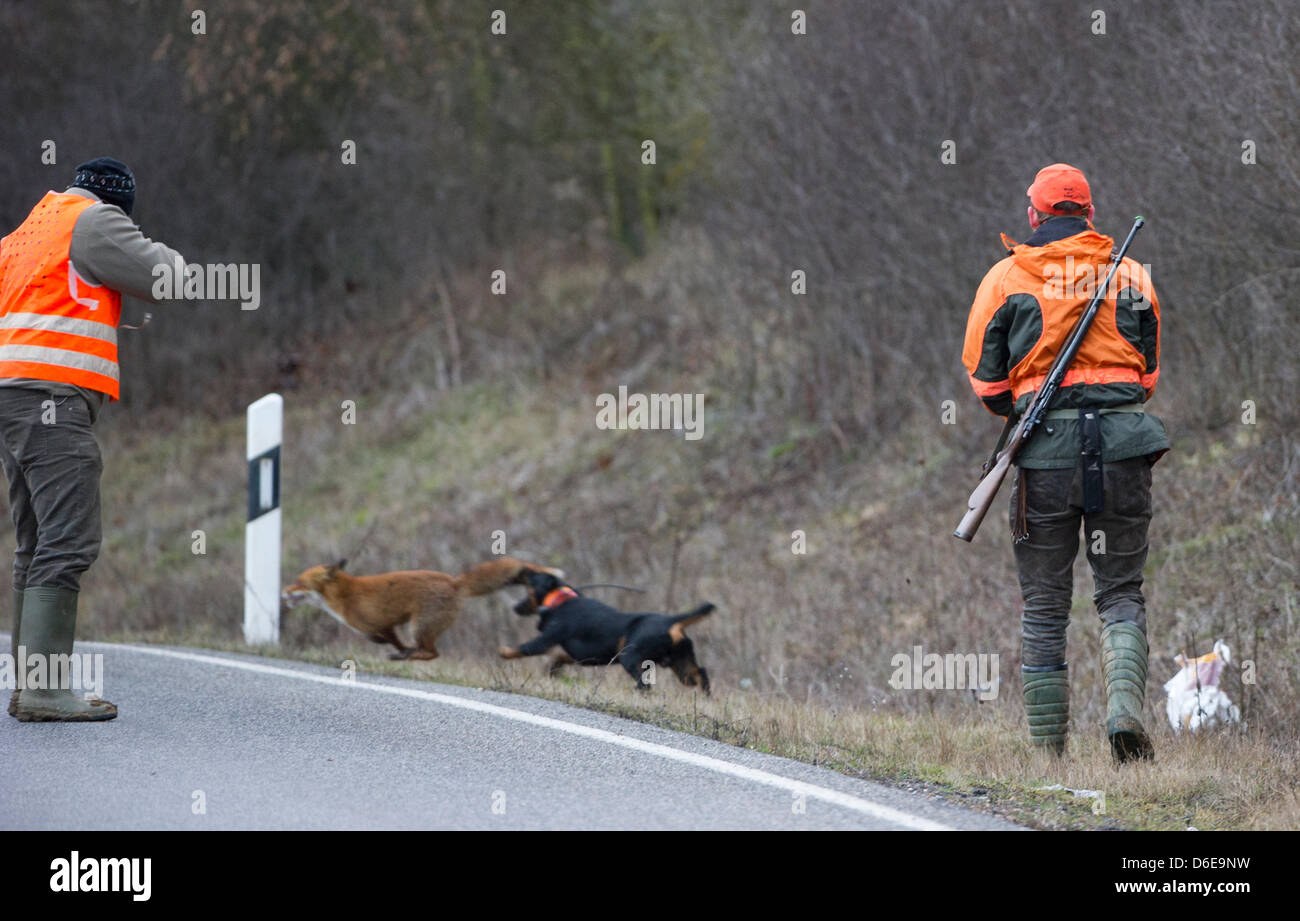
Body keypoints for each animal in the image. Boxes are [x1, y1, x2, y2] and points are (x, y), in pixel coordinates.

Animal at [281, 557, 563, 661]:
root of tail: (454, 581)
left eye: (298, 582)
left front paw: (401, 651)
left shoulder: (383, 623)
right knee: (428, 651)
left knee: (432, 653)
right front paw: (399, 650)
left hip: (420, 625)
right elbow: (382, 640)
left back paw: (409, 656)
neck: (343, 597)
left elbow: (392, 640)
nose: (283, 592)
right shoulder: (377, 627)